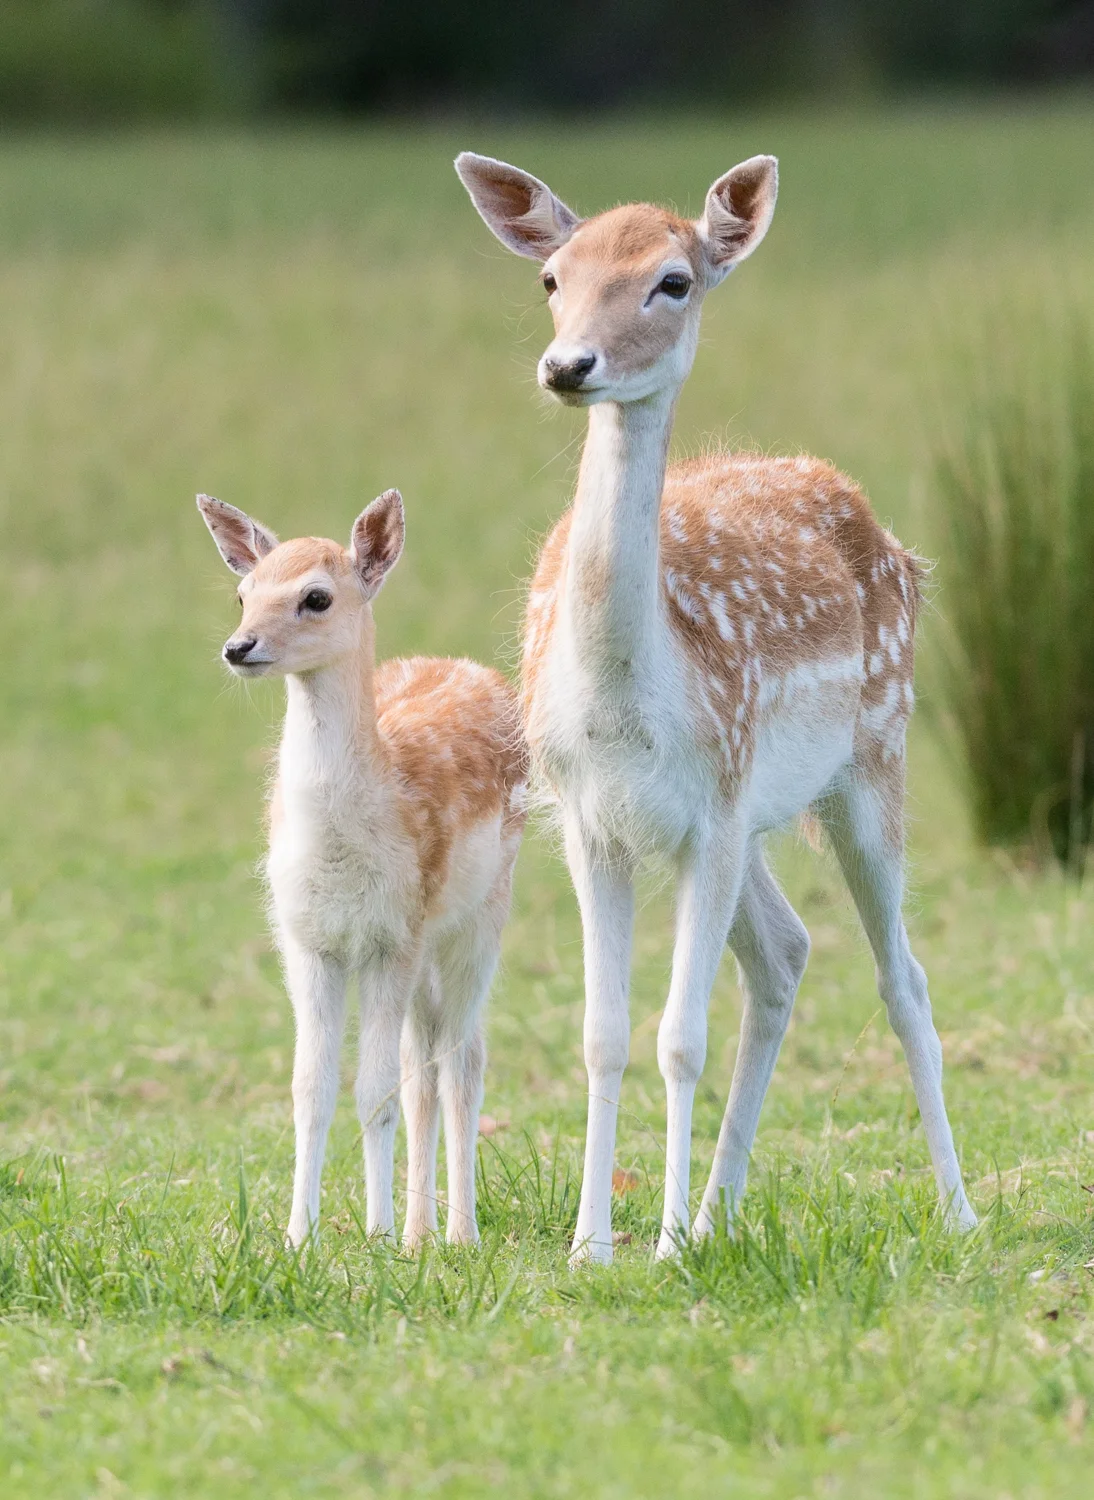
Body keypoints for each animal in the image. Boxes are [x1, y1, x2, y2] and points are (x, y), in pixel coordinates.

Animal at [197, 488, 527, 1250]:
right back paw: (420, 1228)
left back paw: (457, 1233)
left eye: (316, 597)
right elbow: (310, 1089)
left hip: (479, 916)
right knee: (422, 1064)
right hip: (426, 946)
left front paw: (374, 1237)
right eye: (242, 594)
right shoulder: (307, 940)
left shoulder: (389, 935)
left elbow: (372, 1089)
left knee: (462, 1059)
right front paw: (300, 1237)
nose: (238, 648)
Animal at [455, 150, 977, 1264]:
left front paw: (651, 1248)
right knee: (784, 953)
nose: (569, 366)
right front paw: (593, 1244)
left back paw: (955, 1211)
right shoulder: (592, 819)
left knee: (900, 977)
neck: (632, 699)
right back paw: (713, 1213)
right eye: (551, 278)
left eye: (672, 281)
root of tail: (893, 541)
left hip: (872, 756)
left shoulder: (717, 804)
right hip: (753, 824)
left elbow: (677, 1039)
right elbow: (604, 1037)